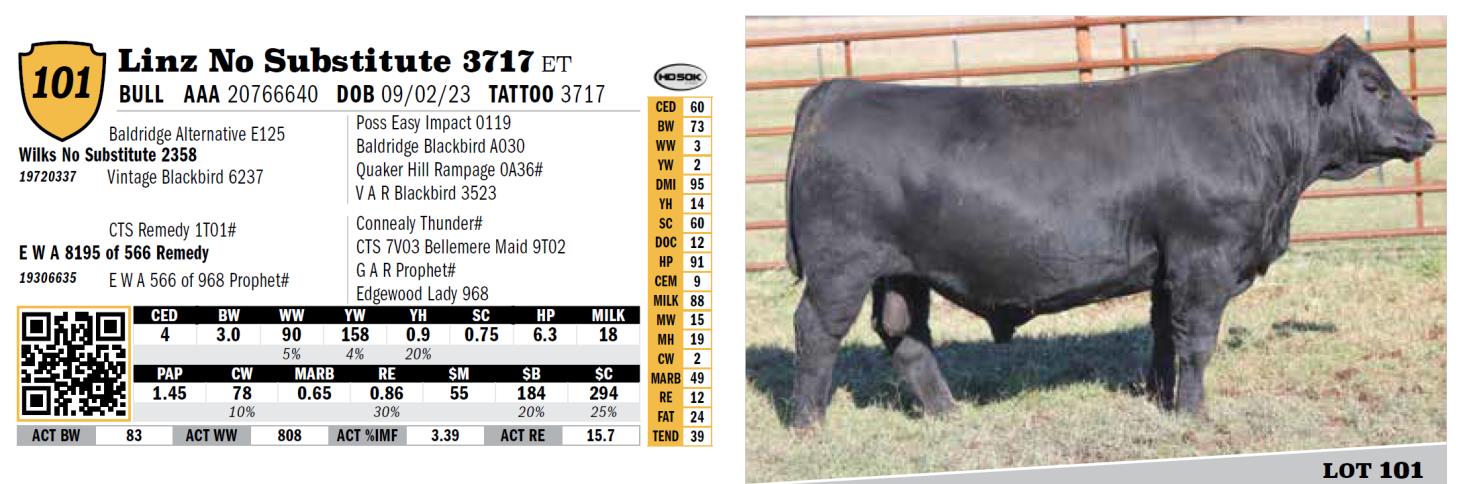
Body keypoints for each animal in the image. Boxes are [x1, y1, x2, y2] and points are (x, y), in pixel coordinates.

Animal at [782, 36, 1435, 428]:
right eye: (1372, 86)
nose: (1427, 131)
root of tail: (837, 91)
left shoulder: (1168, 269)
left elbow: (1163, 337)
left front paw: (1160, 398)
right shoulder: (1205, 260)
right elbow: (1197, 341)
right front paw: (1194, 416)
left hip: (900, 271)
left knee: (905, 335)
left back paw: (947, 414)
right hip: (841, 267)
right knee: (817, 331)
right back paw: (809, 422)